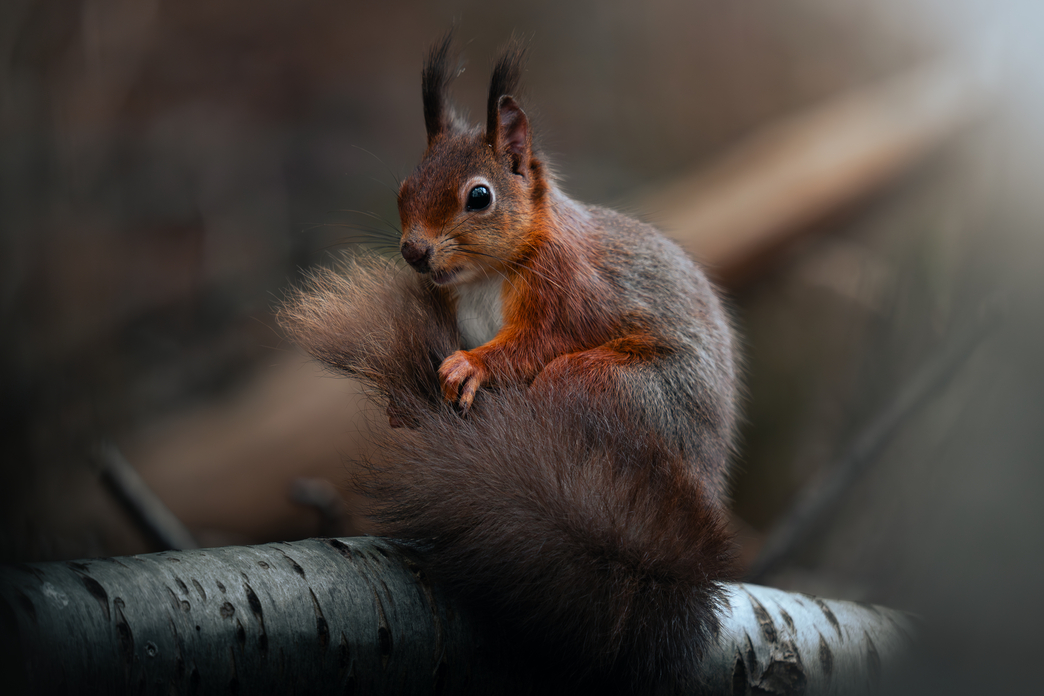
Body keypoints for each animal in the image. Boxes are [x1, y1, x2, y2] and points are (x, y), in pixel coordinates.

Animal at [280, 35, 739, 695]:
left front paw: (470, 367)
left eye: (480, 196)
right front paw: (406, 403)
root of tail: (702, 478)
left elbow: (537, 343)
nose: (414, 251)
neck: (483, 275)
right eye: (404, 187)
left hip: (606, 389)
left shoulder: (569, 294)